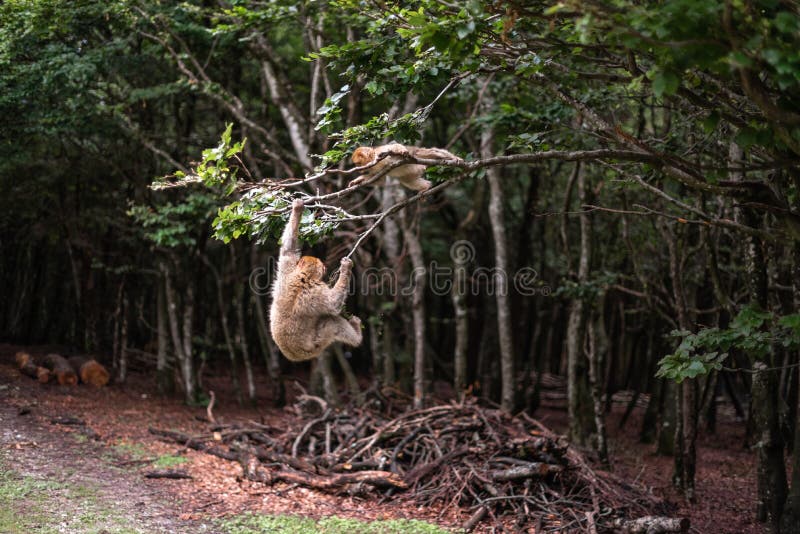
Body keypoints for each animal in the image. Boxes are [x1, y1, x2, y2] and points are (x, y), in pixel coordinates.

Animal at [269, 199, 363, 361]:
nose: (326, 267)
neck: (303, 277)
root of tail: (293, 355)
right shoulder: (316, 291)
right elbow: (333, 304)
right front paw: (346, 268)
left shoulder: (287, 272)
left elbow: (288, 249)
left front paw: (297, 209)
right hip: (316, 344)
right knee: (331, 322)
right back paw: (357, 336)